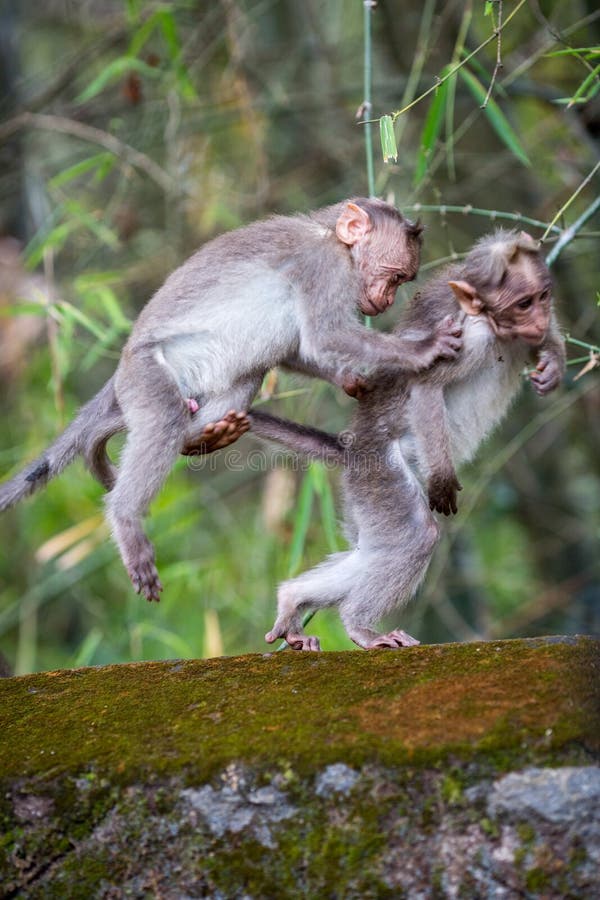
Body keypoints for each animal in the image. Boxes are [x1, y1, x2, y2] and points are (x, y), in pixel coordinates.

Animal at [0, 198, 465, 602]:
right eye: (394, 275)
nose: (386, 300)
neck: (332, 237)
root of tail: (123, 364)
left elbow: (299, 347)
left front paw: (350, 379)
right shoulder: (322, 266)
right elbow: (325, 335)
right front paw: (422, 350)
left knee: (245, 374)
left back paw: (201, 437)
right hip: (145, 374)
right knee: (164, 417)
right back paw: (127, 516)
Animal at [244, 230, 566, 650]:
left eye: (543, 297)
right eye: (523, 304)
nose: (539, 317)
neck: (496, 329)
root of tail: (353, 448)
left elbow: (549, 339)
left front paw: (553, 362)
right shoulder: (471, 337)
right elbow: (426, 388)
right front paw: (443, 479)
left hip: (362, 492)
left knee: (371, 551)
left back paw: (293, 599)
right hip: (380, 472)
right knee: (416, 534)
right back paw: (358, 625)